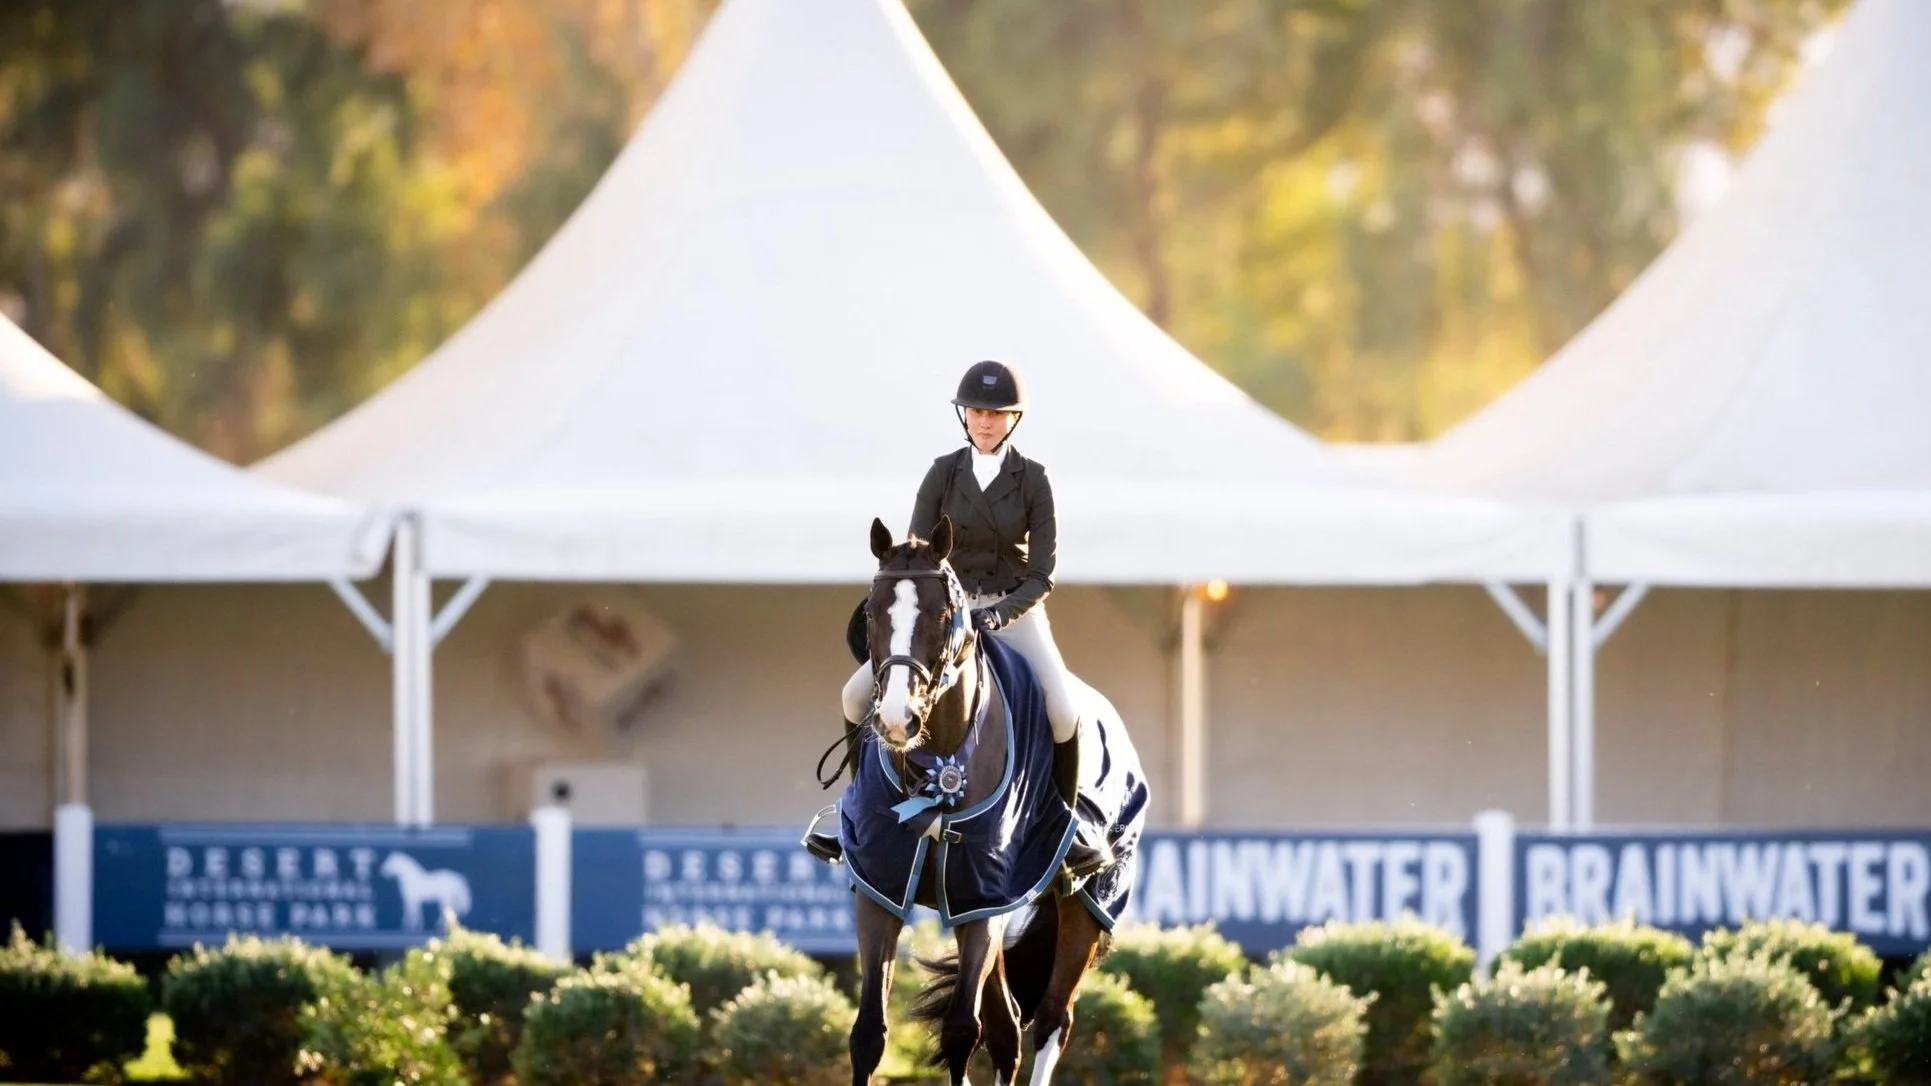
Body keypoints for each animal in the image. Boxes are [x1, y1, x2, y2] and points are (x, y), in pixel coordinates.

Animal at [839, 515, 1147, 1086]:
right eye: (871, 613)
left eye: (942, 615)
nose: (896, 721)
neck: (937, 757)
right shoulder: (884, 885)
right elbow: (869, 1032)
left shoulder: (982, 898)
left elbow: (963, 1030)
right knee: (1008, 1026)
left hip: (1085, 904)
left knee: (1050, 1020)